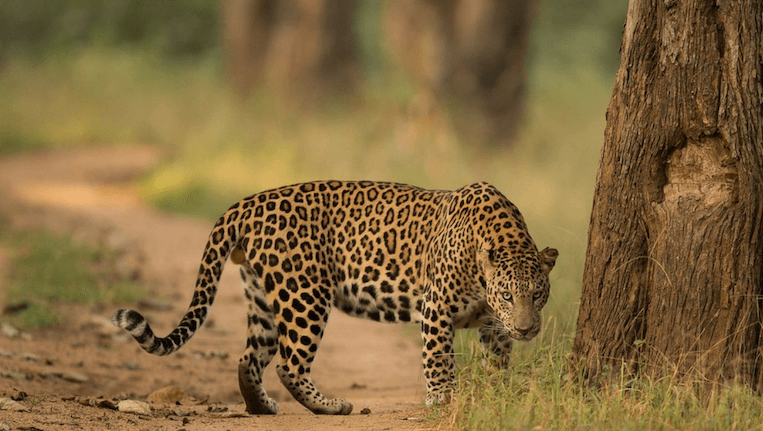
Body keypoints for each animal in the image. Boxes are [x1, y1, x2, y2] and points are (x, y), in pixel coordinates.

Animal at [111, 180, 558, 415]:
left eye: (537, 294)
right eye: (507, 294)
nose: (527, 329)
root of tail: (245, 203)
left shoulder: (492, 325)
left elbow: (498, 359)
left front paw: (498, 394)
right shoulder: (437, 309)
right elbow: (437, 360)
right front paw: (442, 400)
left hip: (262, 297)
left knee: (248, 358)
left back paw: (261, 407)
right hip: (304, 294)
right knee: (289, 364)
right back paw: (330, 406)